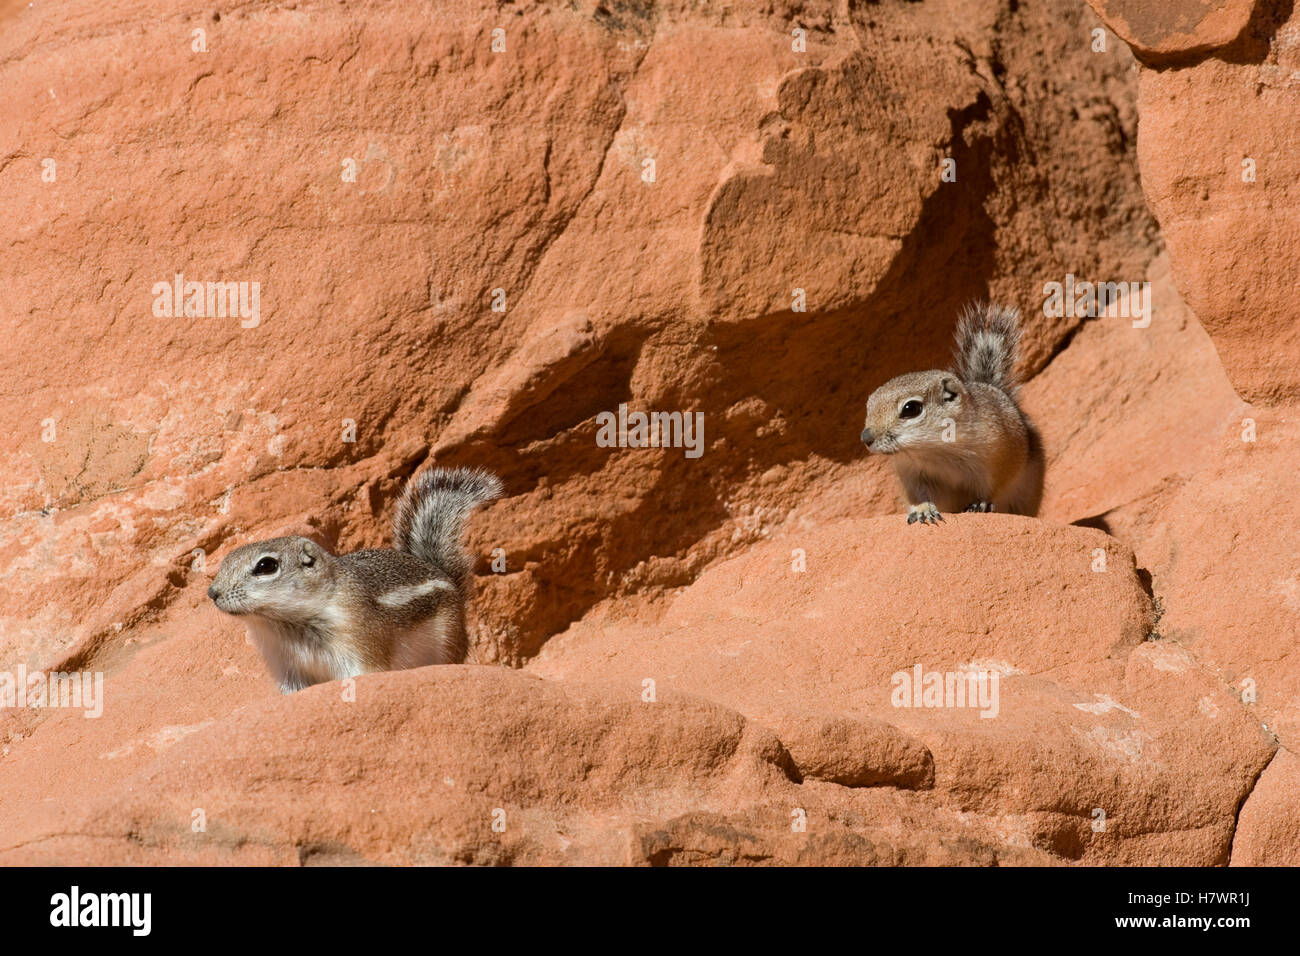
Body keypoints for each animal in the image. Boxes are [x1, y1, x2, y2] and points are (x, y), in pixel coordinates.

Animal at [208, 466, 502, 692]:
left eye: (266, 566)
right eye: (226, 560)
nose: (213, 593)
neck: (288, 624)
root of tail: (441, 572)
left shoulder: (359, 644)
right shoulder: (288, 669)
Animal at [860, 302, 1044, 524]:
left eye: (911, 409)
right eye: (869, 405)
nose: (866, 437)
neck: (938, 449)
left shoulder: (1003, 455)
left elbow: (997, 484)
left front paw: (982, 503)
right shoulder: (912, 474)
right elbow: (918, 496)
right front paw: (922, 510)